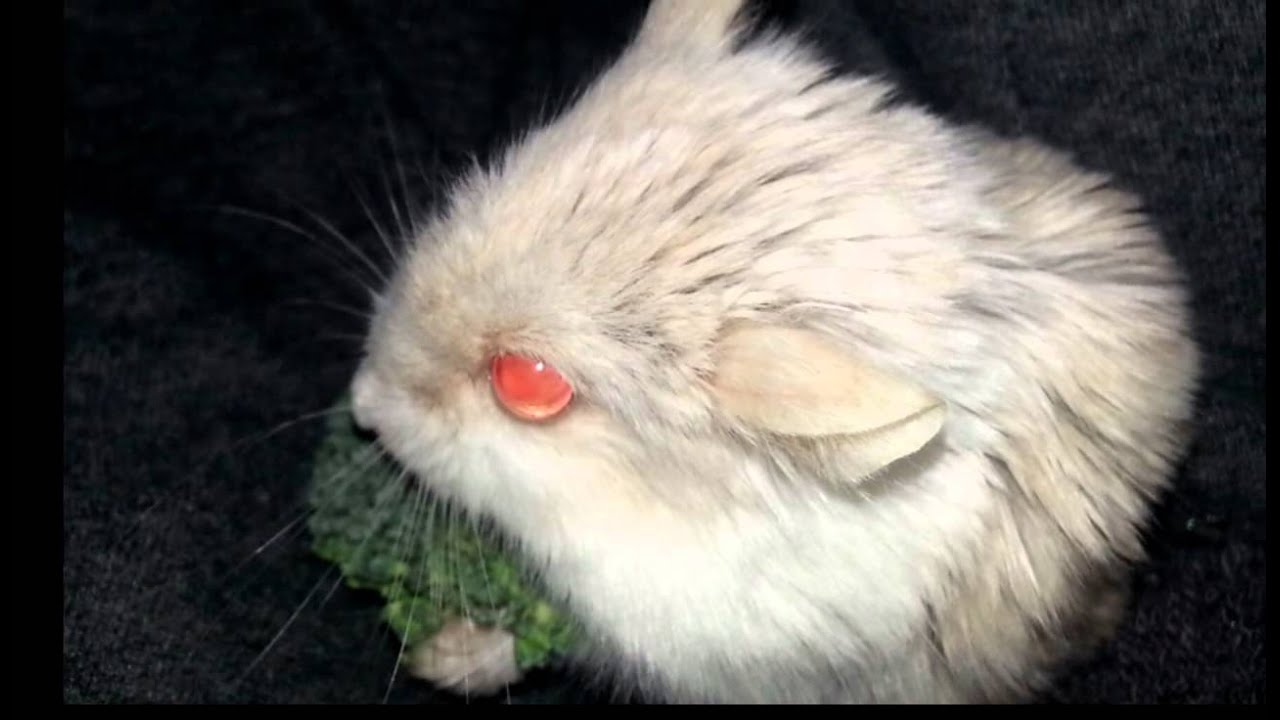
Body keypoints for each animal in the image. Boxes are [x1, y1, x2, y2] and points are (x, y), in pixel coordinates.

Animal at [348, 0, 1200, 704]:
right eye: (462, 204)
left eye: (528, 383)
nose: (360, 407)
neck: (631, 503)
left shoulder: (683, 635)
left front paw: (441, 656)